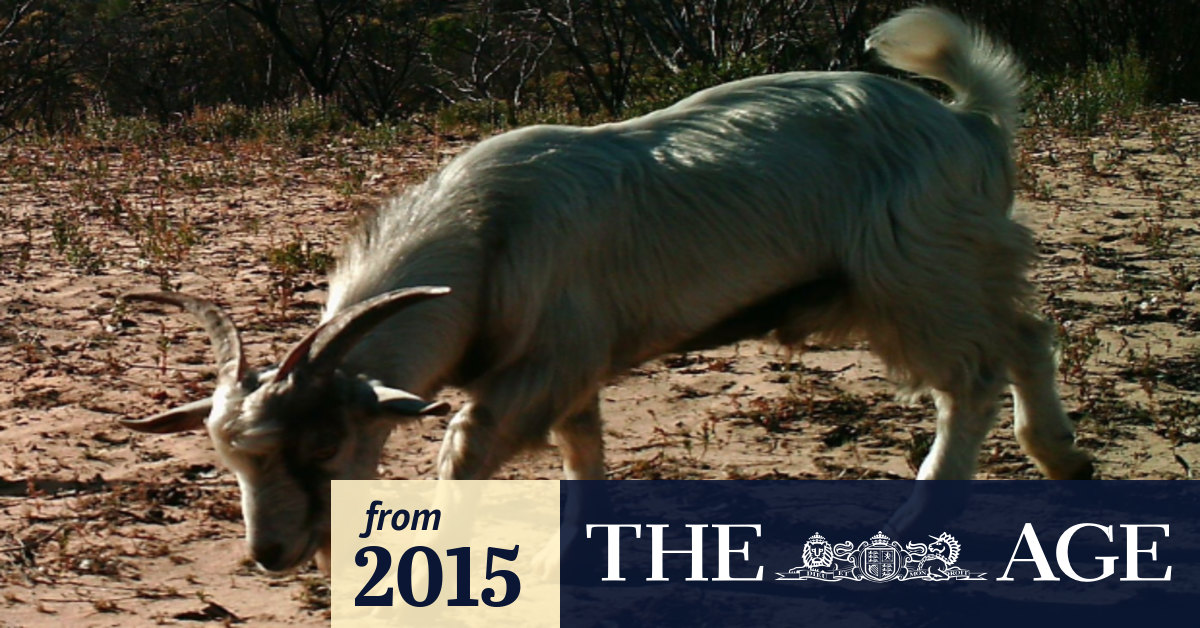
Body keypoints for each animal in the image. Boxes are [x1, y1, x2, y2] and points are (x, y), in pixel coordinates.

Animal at [117, 8, 1093, 574]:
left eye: (323, 444)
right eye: (231, 460)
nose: (272, 554)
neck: (485, 234)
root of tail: (970, 124)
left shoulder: (540, 366)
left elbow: (463, 453)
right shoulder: (569, 367)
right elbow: (583, 443)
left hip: (911, 276)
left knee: (970, 377)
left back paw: (920, 517)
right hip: (951, 268)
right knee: (1027, 334)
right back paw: (1061, 458)